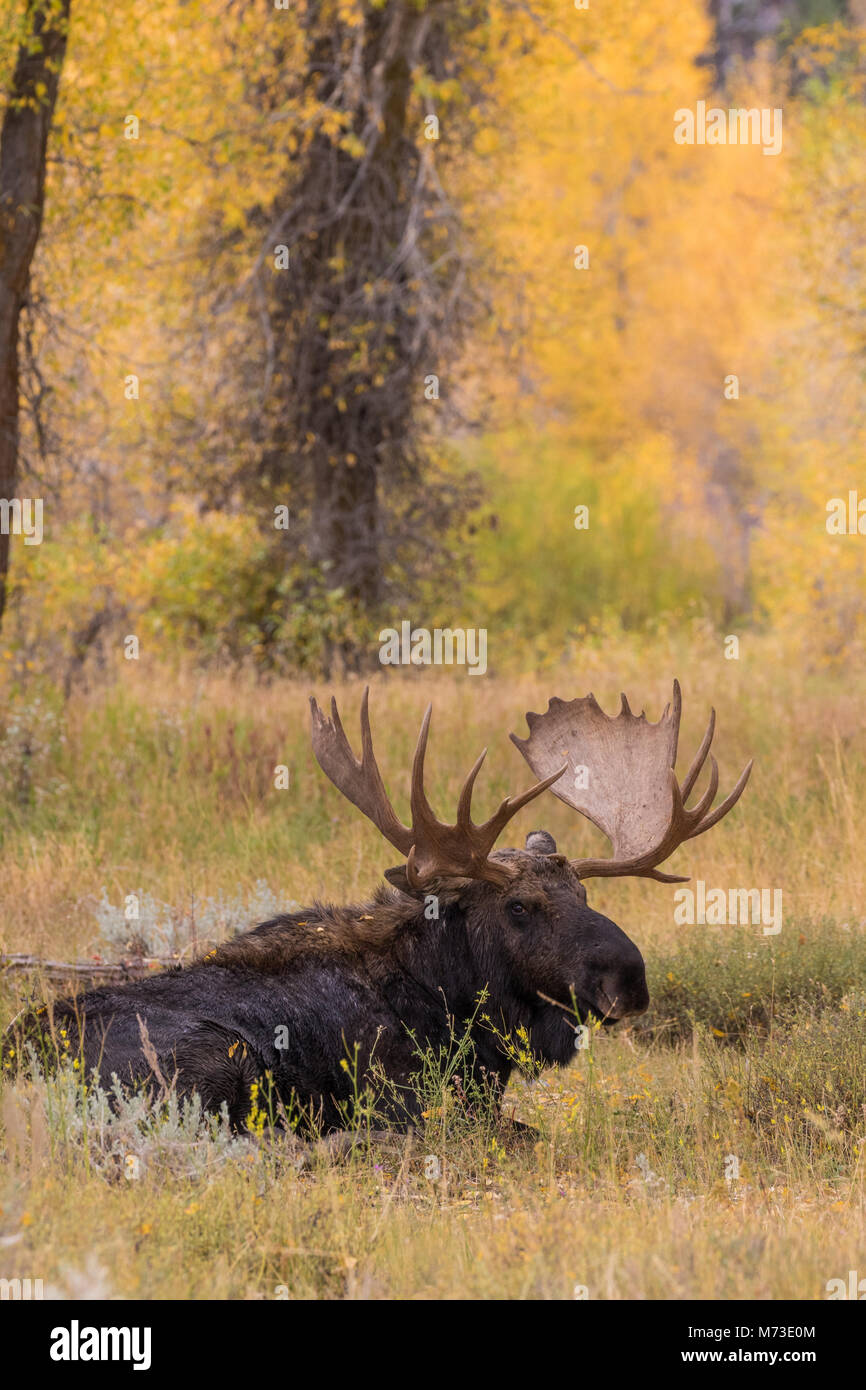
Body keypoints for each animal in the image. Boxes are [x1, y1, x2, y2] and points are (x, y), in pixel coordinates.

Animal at [14, 681, 751, 1135]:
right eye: (518, 906)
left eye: (586, 893)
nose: (629, 978)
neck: (447, 997)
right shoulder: (412, 1101)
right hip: (218, 1057)